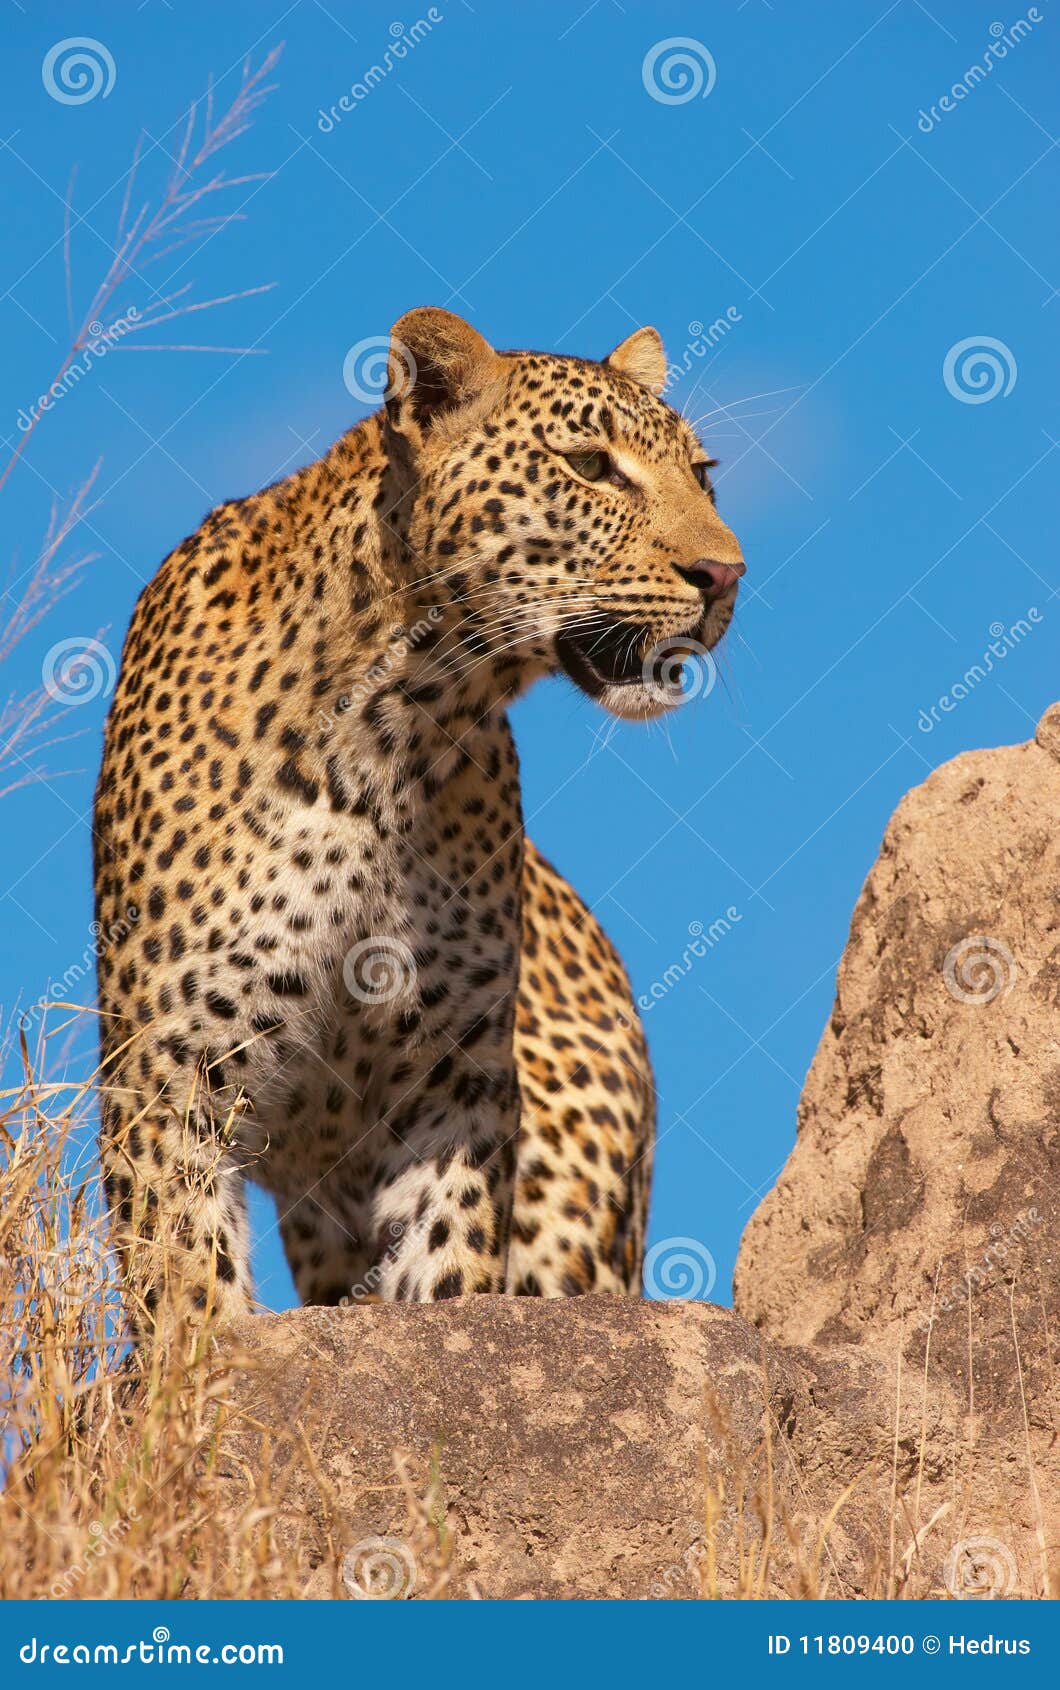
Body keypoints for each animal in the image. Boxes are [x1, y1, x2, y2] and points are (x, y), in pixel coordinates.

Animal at [92, 308, 745, 1335]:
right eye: (591, 467)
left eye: (703, 474)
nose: (725, 574)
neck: (394, 718)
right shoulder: (167, 1066)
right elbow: (188, 1287)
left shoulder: (455, 1083)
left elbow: (447, 1270)